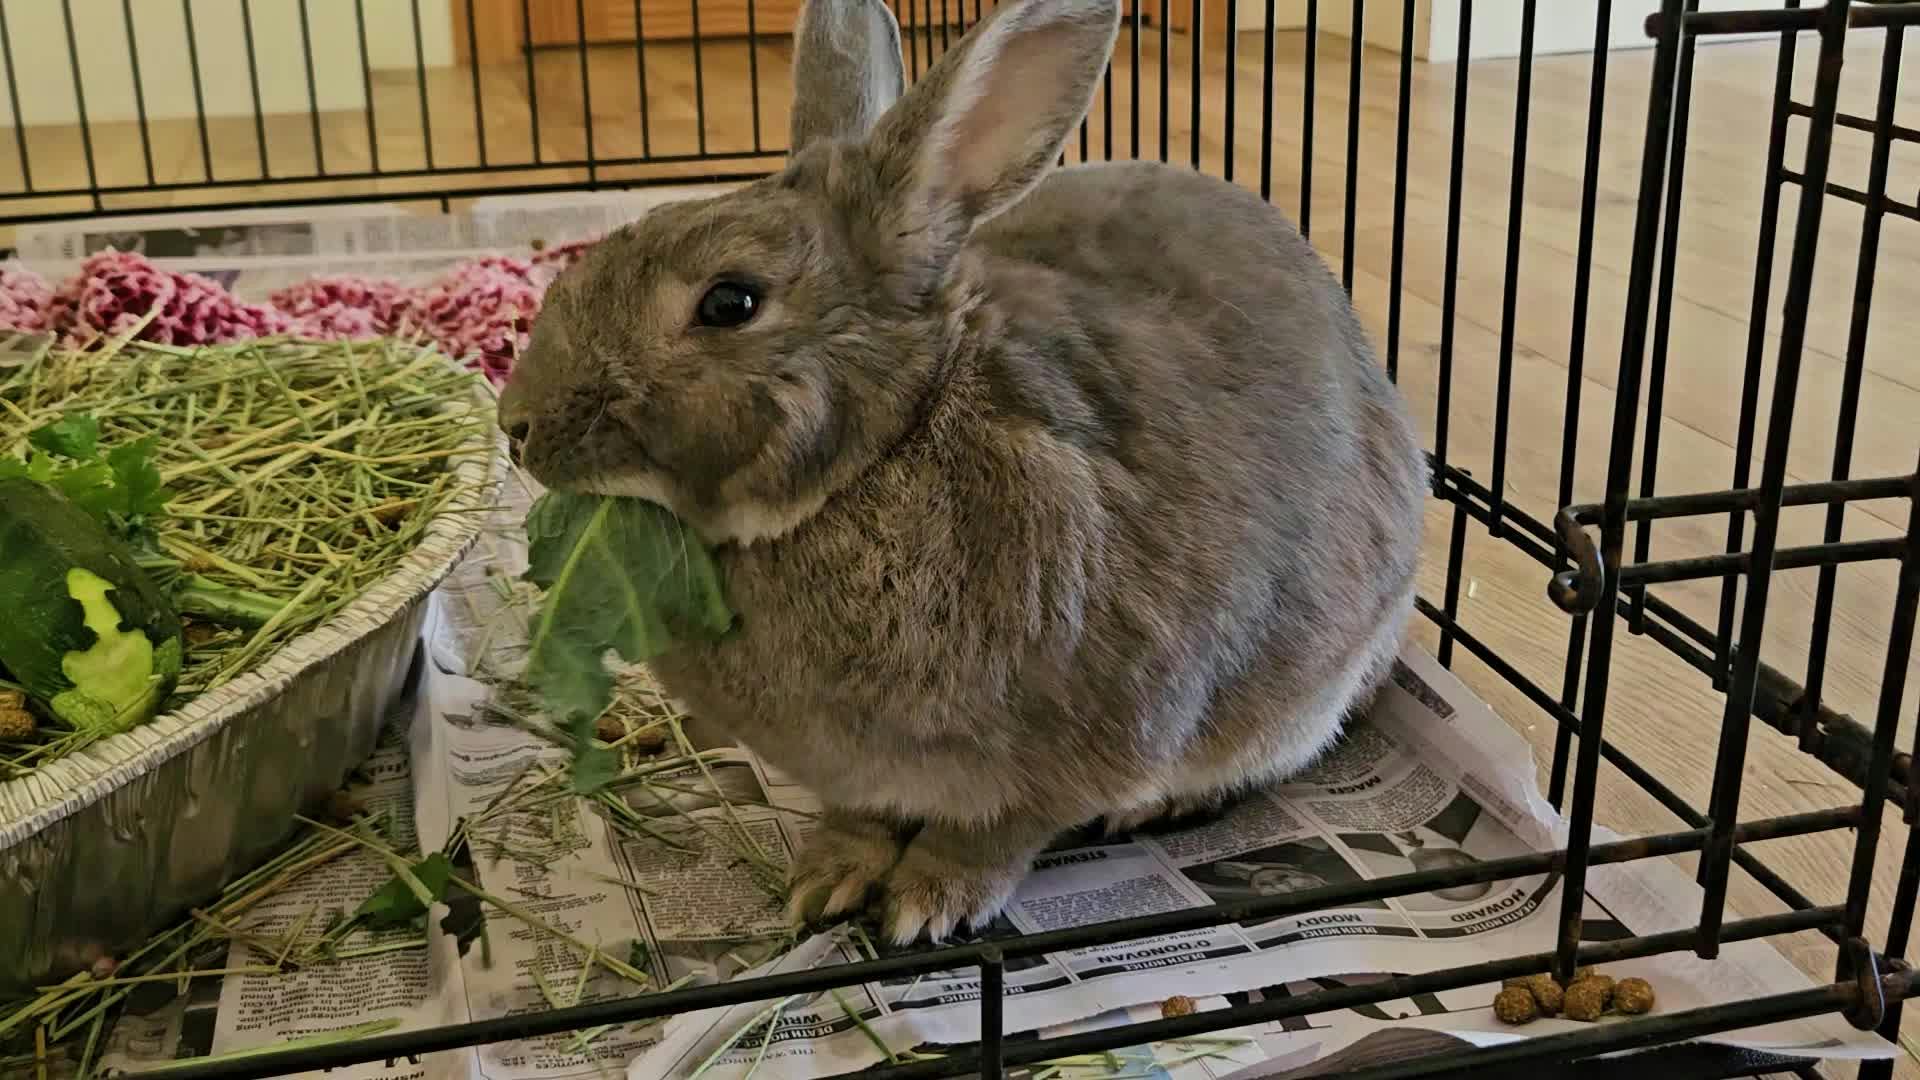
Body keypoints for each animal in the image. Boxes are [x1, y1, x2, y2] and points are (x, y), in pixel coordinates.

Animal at [496, 0, 1428, 946]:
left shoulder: (1074, 748)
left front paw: (925, 903)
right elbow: (862, 818)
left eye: (730, 302)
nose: (517, 428)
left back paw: (1153, 811)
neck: (888, 451)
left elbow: (992, 837)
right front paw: (826, 881)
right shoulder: (862, 773)